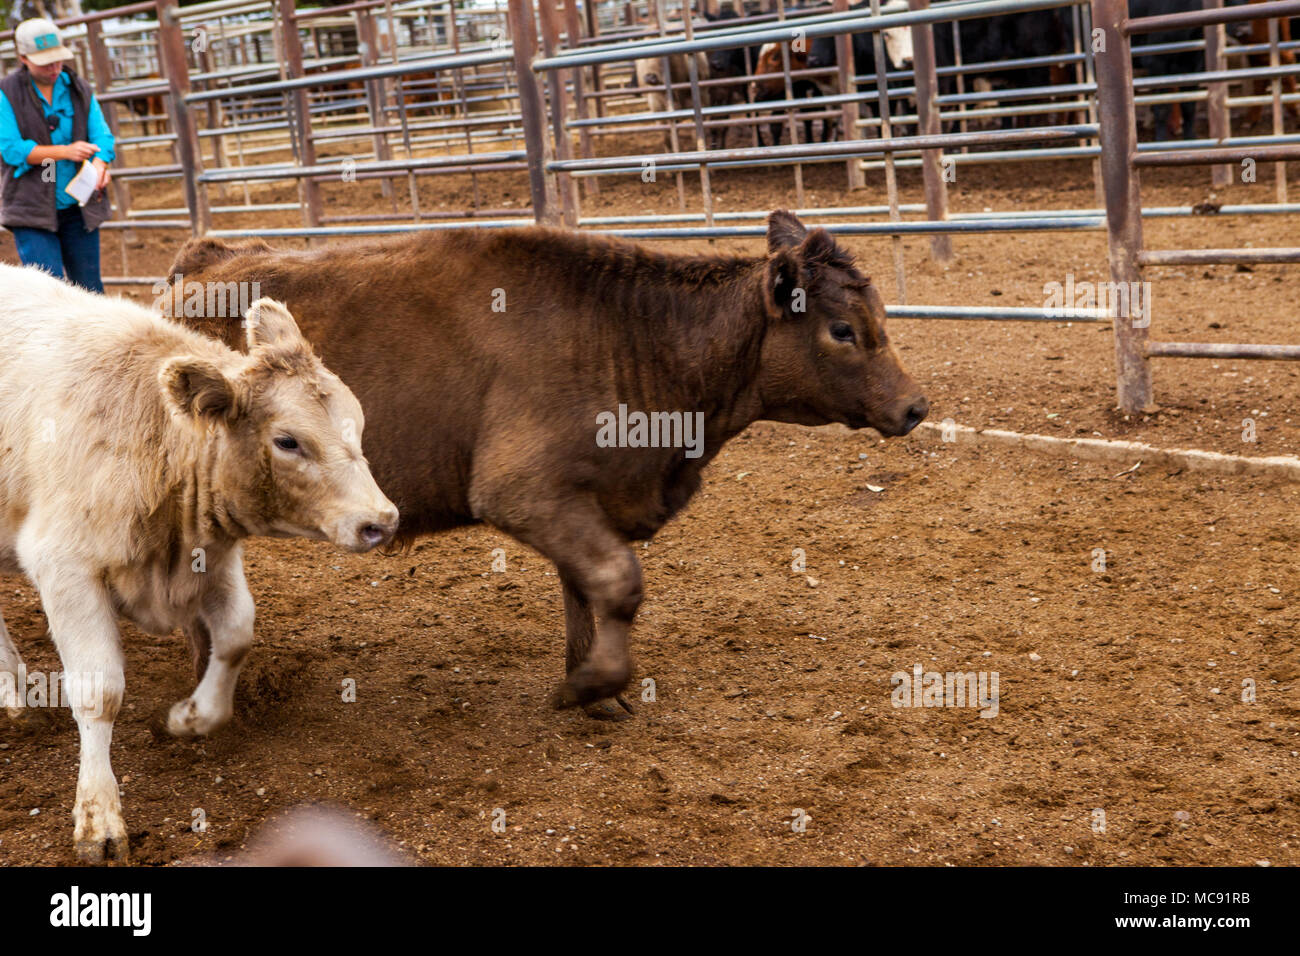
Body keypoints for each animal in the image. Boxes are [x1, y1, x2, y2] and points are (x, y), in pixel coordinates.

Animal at [0, 264, 399, 863]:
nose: (381, 521)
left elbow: (234, 636)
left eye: (359, 421)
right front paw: (99, 817)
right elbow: (99, 692)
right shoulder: (65, 566)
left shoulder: (211, 558)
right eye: (288, 441)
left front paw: (189, 717)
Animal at [166, 211, 929, 725]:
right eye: (842, 329)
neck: (630, 338)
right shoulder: (524, 492)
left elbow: (585, 588)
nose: (915, 406)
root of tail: (201, 265)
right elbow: (618, 581)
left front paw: (597, 689)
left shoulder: (584, 500)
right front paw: (588, 686)